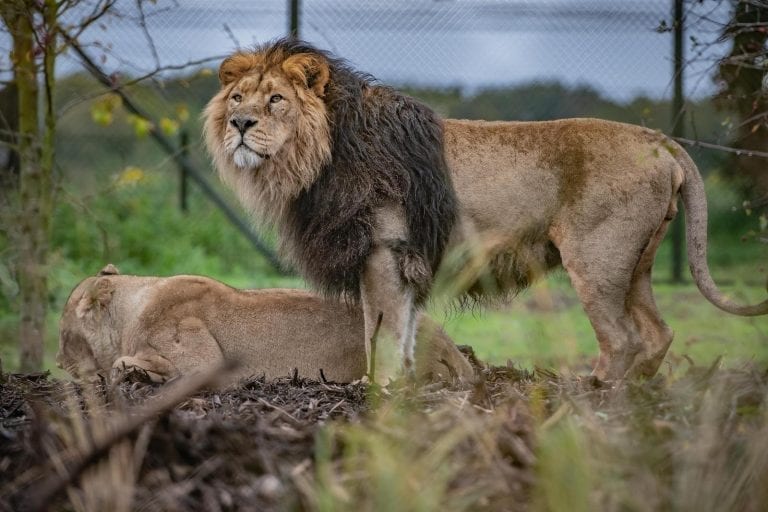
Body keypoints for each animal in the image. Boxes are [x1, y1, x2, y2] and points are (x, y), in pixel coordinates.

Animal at [56, 265, 474, 386]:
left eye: (61, 334)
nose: (58, 363)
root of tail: (448, 343)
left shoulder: (205, 364)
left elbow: (122, 362)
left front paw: (130, 371)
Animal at [203, 38, 768, 382]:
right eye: (237, 98)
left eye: (276, 100)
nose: (240, 125)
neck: (316, 158)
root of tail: (659, 140)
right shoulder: (401, 259)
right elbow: (400, 331)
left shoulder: (385, 251)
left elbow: (379, 330)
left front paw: (378, 388)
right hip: (637, 263)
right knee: (658, 333)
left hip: (598, 258)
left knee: (624, 338)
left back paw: (598, 394)